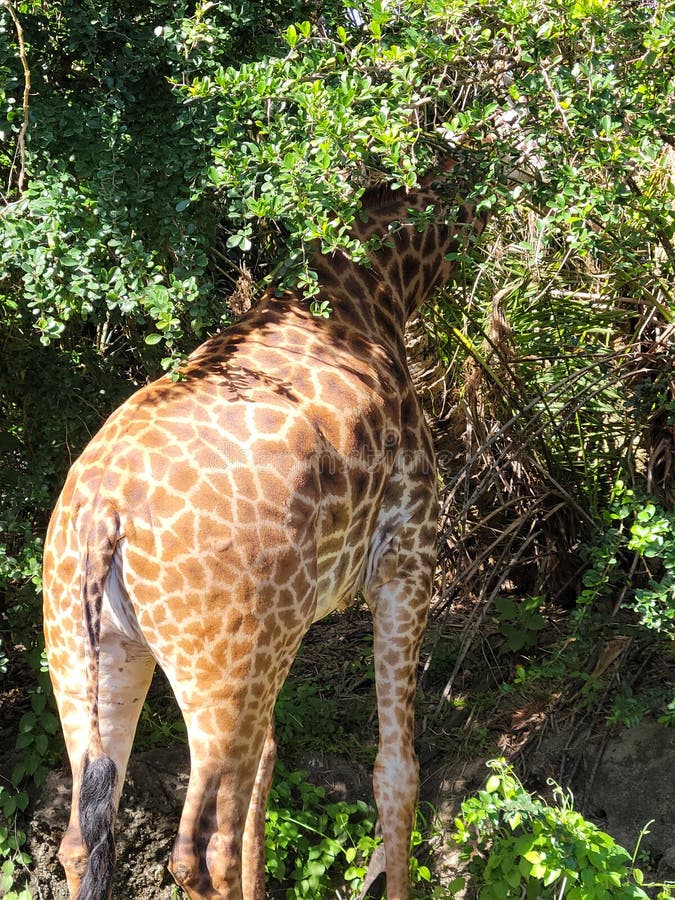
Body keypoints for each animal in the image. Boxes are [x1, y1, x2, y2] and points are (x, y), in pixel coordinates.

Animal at [42, 174, 487, 900]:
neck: (378, 286)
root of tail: (102, 513)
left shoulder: (281, 636)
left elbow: (269, 774)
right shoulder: (407, 558)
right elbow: (397, 772)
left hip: (94, 657)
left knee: (85, 840)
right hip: (217, 675)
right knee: (198, 852)